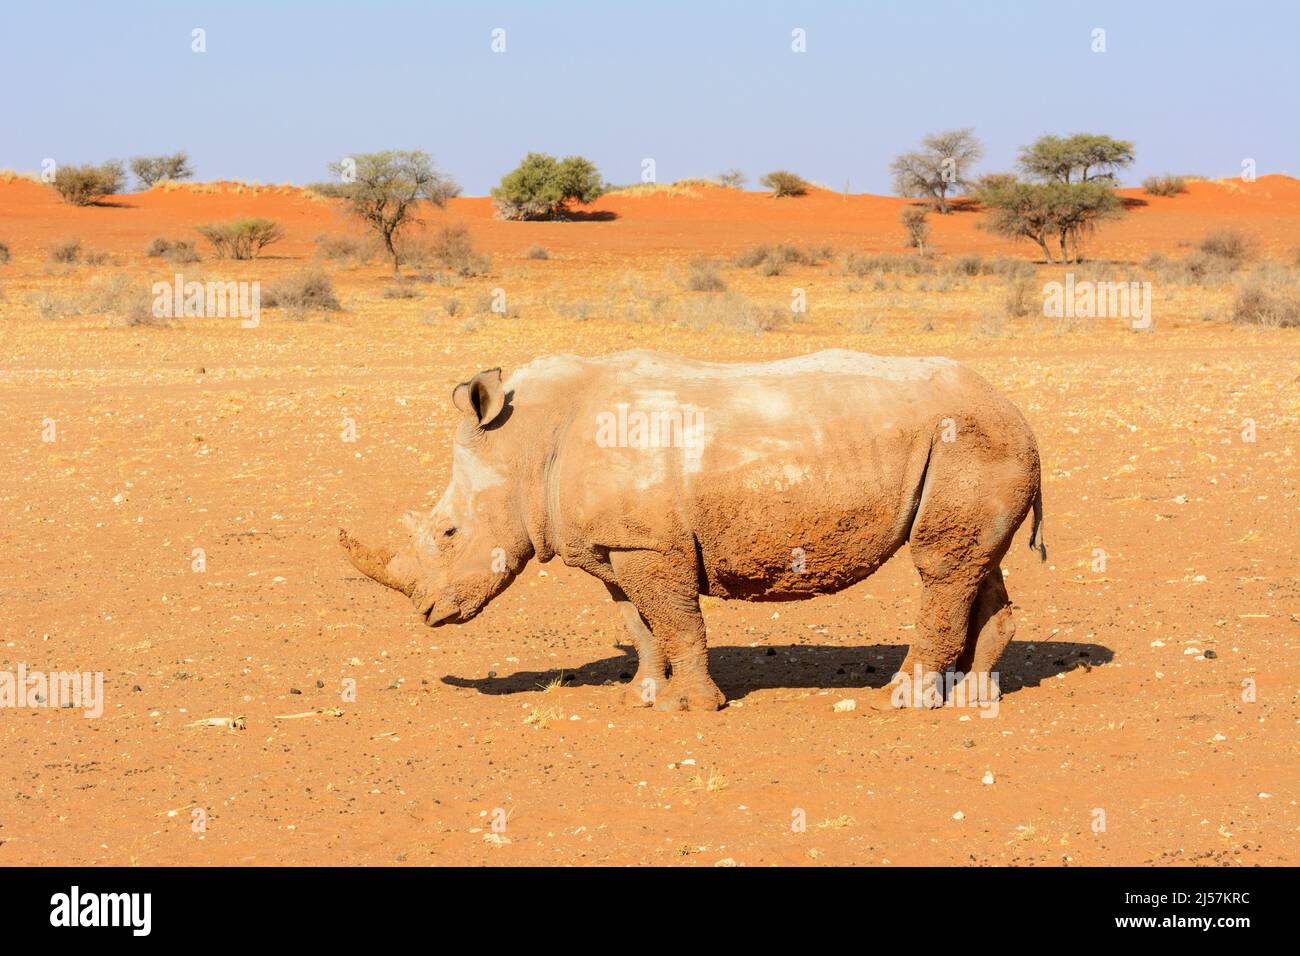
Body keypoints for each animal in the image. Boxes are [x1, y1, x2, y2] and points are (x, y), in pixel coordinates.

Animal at [340, 349, 1044, 711]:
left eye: (449, 532)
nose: (428, 613)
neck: (527, 445)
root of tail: (1016, 410)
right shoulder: (616, 548)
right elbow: (639, 624)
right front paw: (644, 695)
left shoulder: (651, 546)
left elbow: (679, 621)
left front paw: (700, 706)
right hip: (977, 445)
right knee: (972, 564)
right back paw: (975, 696)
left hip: (968, 441)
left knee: (940, 567)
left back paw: (900, 700)